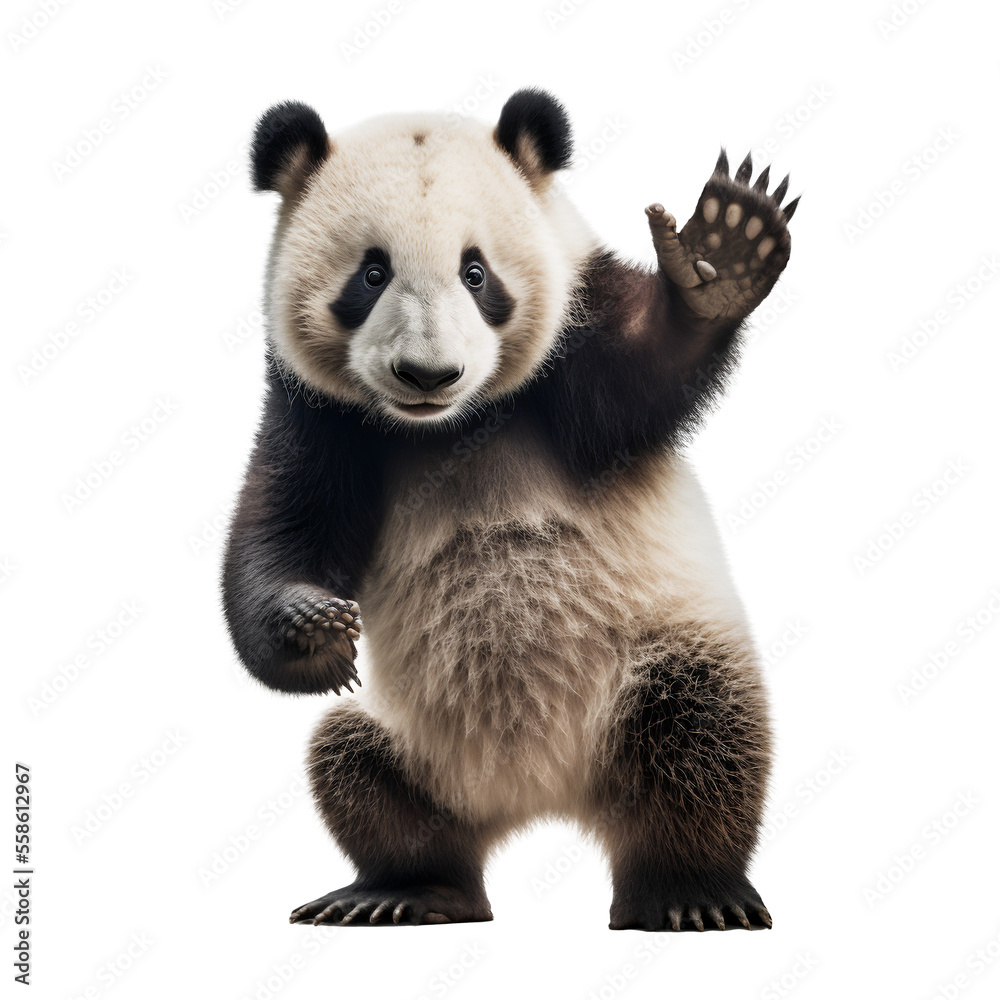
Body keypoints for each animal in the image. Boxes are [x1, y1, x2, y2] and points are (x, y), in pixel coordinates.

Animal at [222, 89, 797, 932]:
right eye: (371, 273)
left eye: (476, 273)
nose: (427, 374)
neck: (448, 428)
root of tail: (537, 797)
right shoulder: (323, 418)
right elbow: (281, 526)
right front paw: (314, 630)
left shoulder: (574, 342)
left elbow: (643, 375)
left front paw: (723, 253)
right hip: (406, 733)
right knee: (355, 767)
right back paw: (406, 891)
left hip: (654, 659)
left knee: (701, 737)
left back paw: (688, 893)